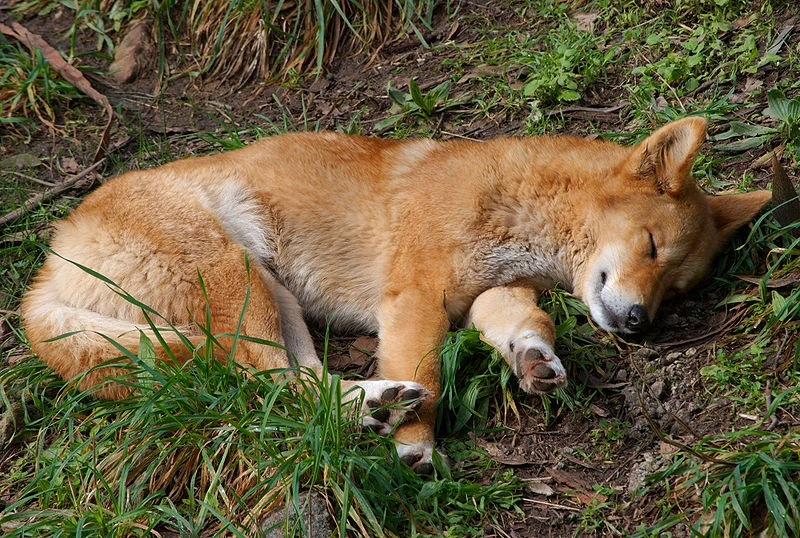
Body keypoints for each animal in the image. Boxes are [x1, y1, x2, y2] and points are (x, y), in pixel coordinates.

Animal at [22, 117, 771, 472]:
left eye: (677, 287)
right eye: (651, 246)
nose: (641, 323)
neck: (522, 210)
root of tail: (47, 268)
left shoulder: (489, 293)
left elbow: (527, 324)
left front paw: (536, 362)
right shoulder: (416, 301)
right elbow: (429, 377)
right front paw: (418, 447)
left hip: (274, 297)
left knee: (296, 383)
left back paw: (369, 402)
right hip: (236, 282)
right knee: (268, 384)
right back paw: (379, 406)